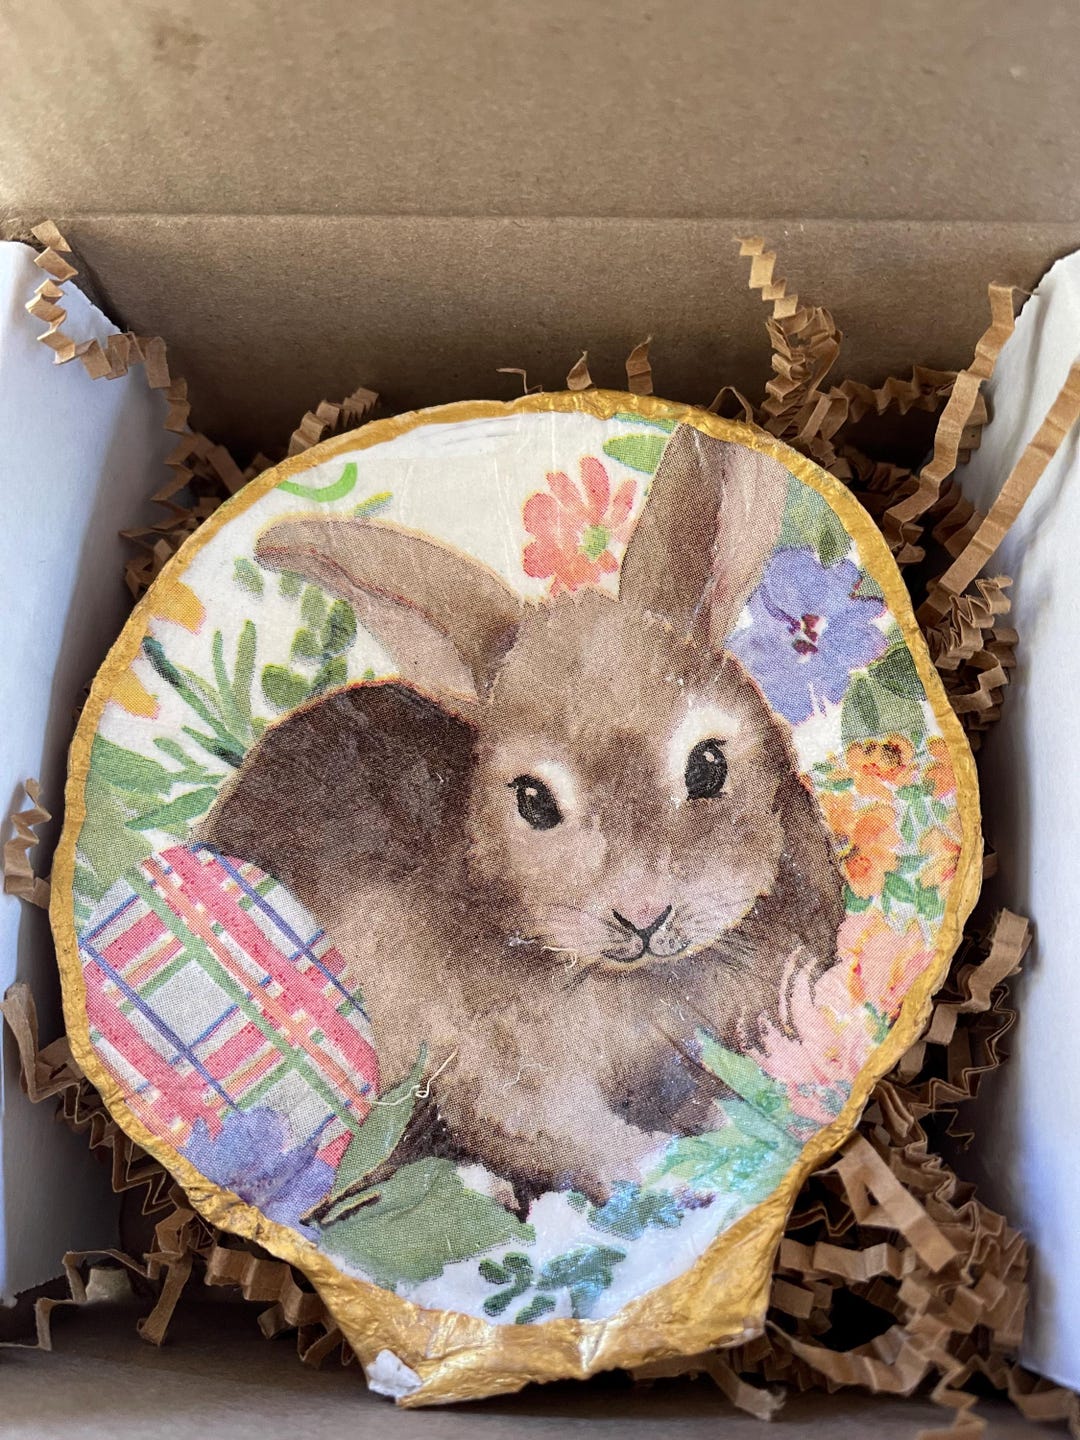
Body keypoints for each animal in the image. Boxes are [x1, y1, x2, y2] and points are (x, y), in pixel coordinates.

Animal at [199, 422, 846, 1209]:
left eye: (708, 767)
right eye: (532, 801)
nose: (642, 912)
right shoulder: (503, 1084)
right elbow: (599, 1146)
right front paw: (675, 1186)